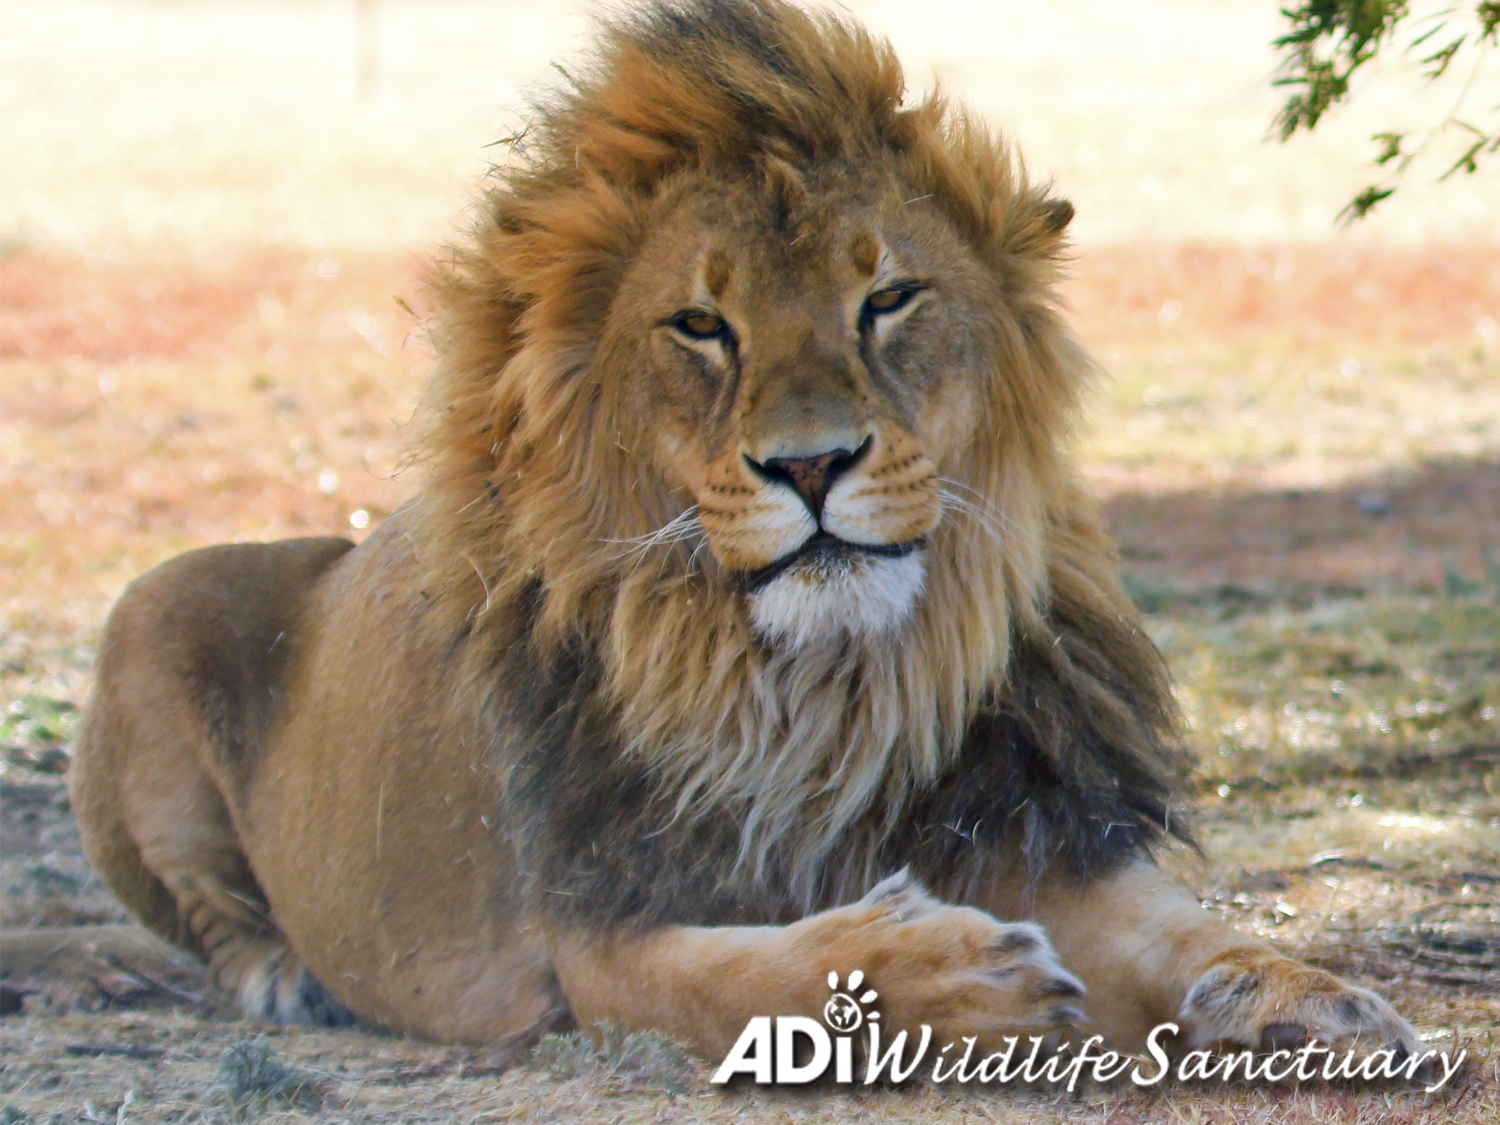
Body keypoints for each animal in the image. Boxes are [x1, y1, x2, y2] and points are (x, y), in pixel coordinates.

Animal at [63, 0, 1419, 1065]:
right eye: (702, 325)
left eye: (888, 297)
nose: (811, 464)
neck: (828, 685)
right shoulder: (600, 929)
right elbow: (761, 975)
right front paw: (953, 976)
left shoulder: (1034, 819)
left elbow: (1190, 933)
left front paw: (1314, 998)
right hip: (147, 614)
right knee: (211, 915)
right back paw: (287, 979)